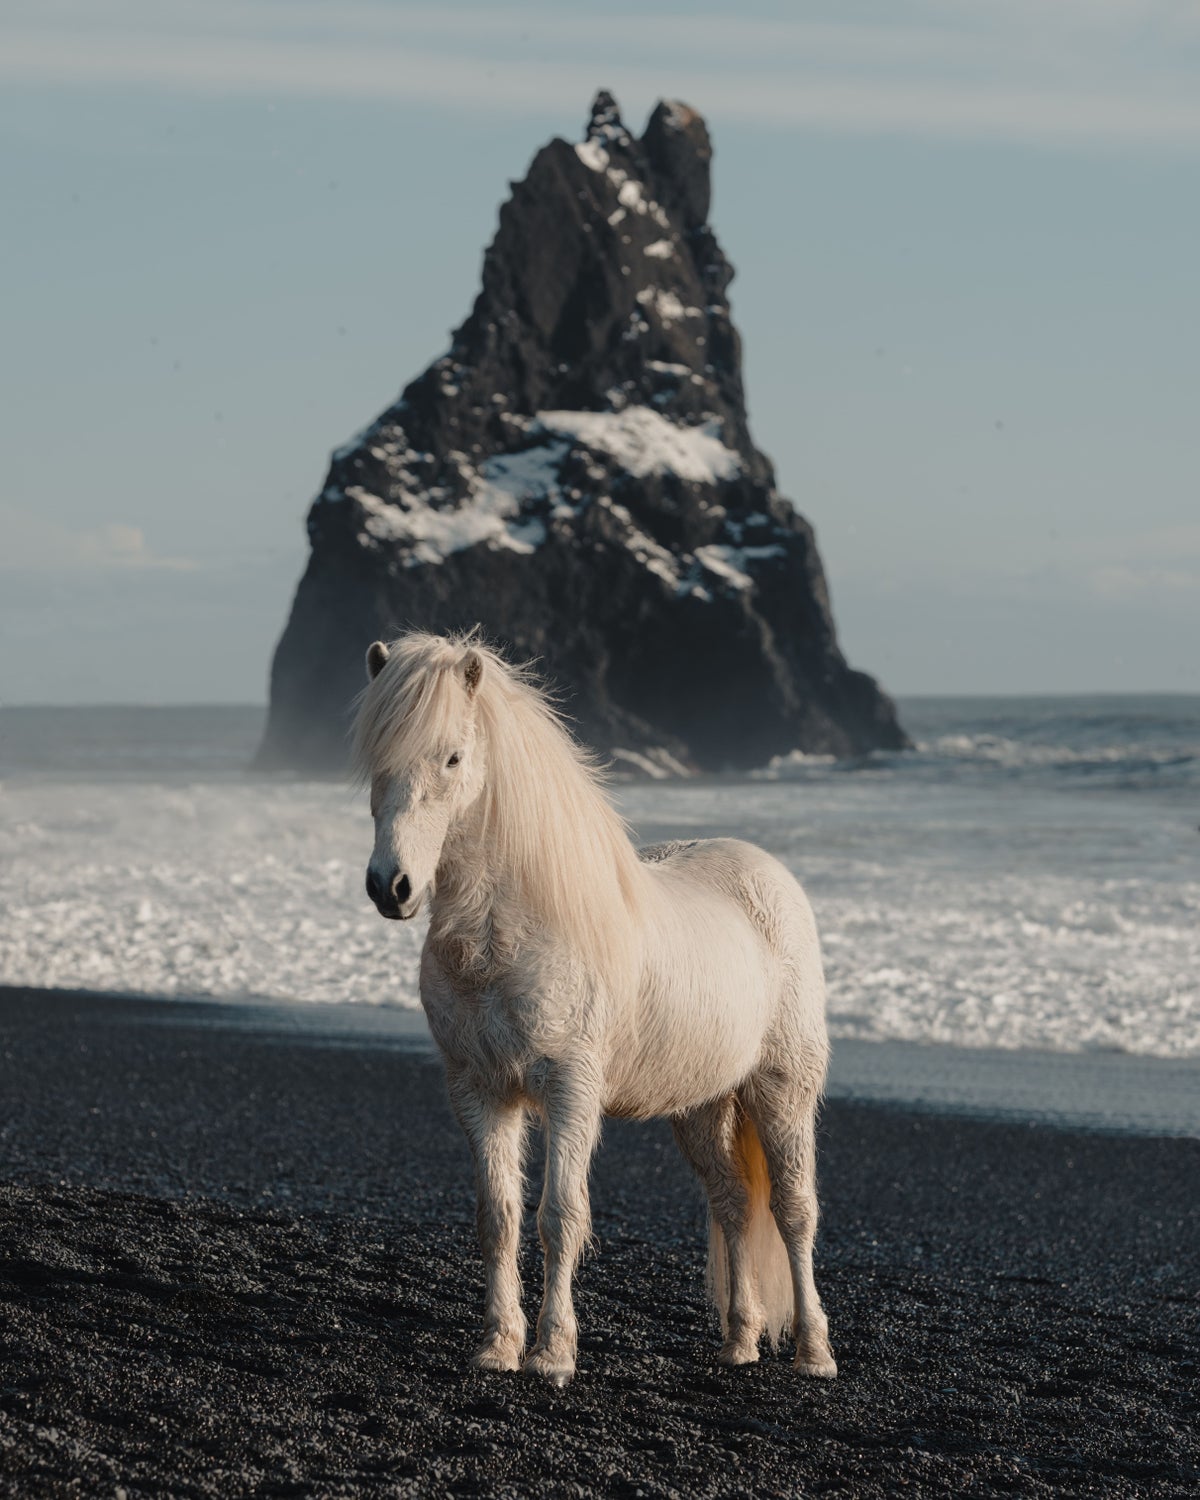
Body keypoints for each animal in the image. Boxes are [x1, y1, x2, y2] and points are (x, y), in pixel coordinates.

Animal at [353, 631, 837, 1387]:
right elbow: (499, 1217)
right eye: (377, 758)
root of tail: (768, 873)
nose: (391, 886)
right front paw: (498, 1347)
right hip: (701, 1106)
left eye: (453, 757)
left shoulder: (570, 1090)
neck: (514, 932)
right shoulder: (478, 1091)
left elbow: (559, 1216)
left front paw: (552, 1354)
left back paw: (815, 1354)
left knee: (792, 1211)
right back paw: (739, 1340)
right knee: (732, 1203)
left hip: (781, 1087)